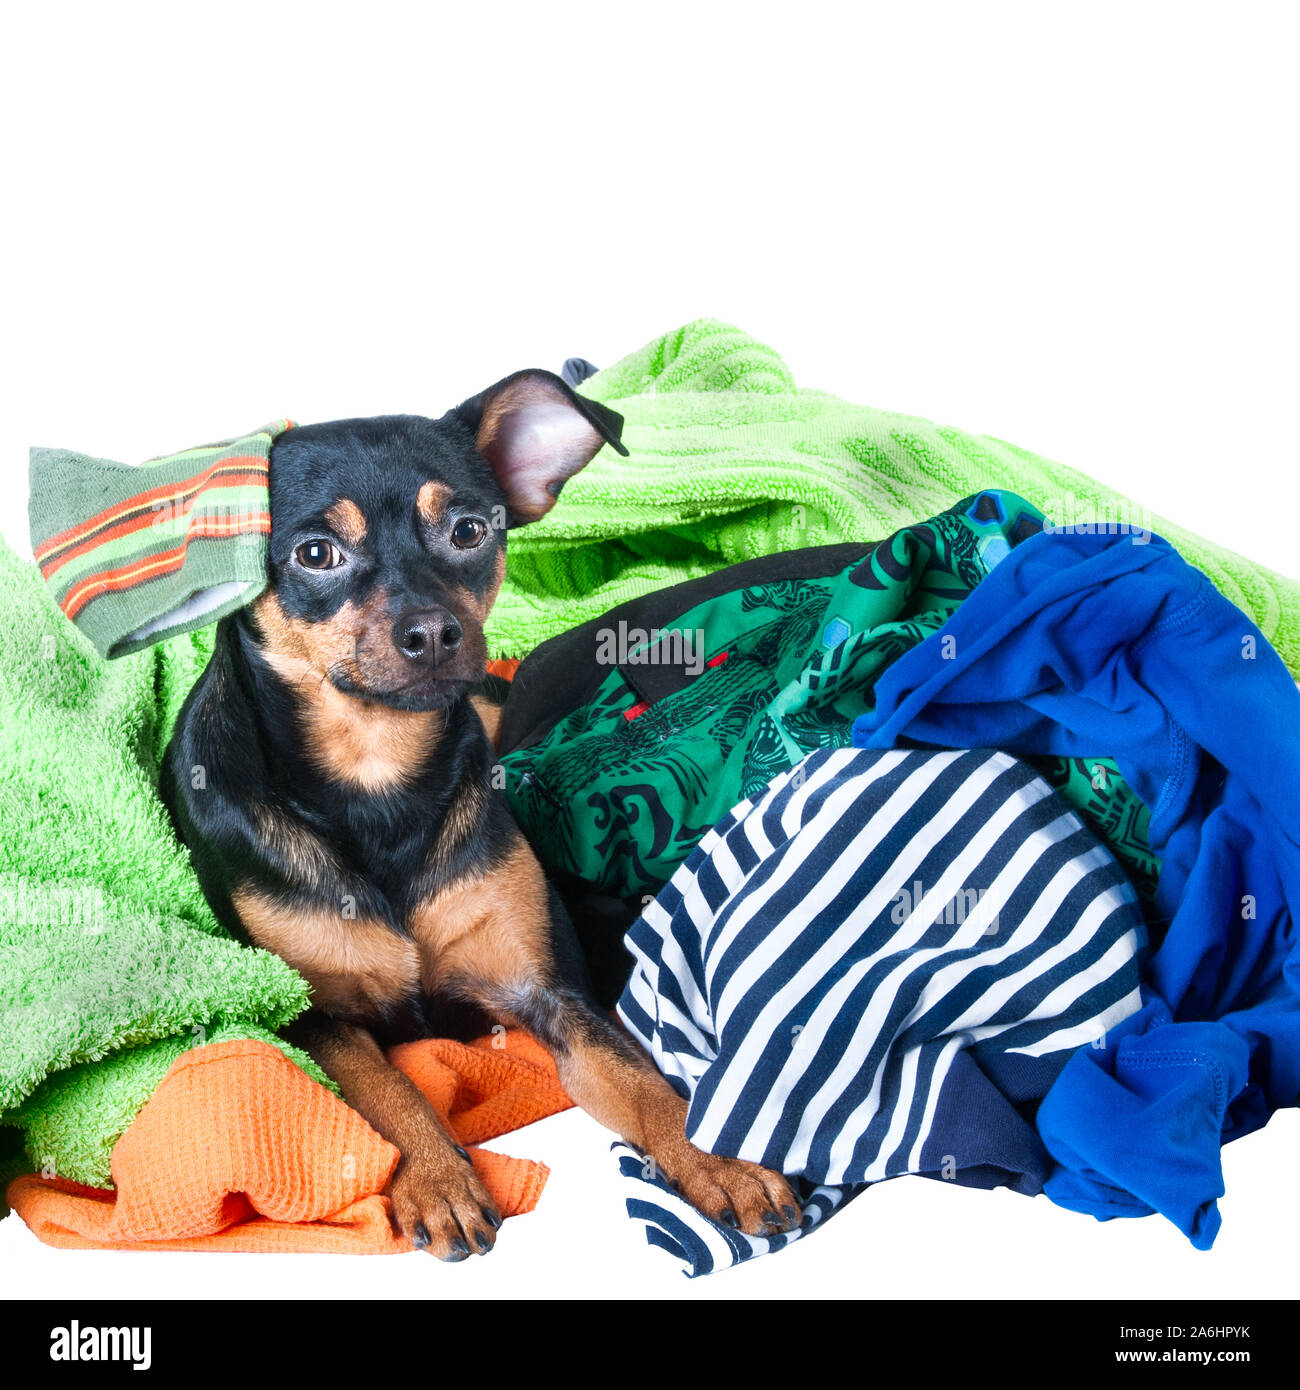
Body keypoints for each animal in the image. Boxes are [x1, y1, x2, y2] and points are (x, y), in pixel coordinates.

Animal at [157, 369, 800, 1262]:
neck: (377, 776)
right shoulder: (315, 1018)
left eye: (467, 531)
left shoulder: (549, 994)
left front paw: (717, 1163)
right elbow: (383, 1088)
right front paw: (438, 1178)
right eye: (315, 553)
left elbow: (638, 1079)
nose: (433, 631)